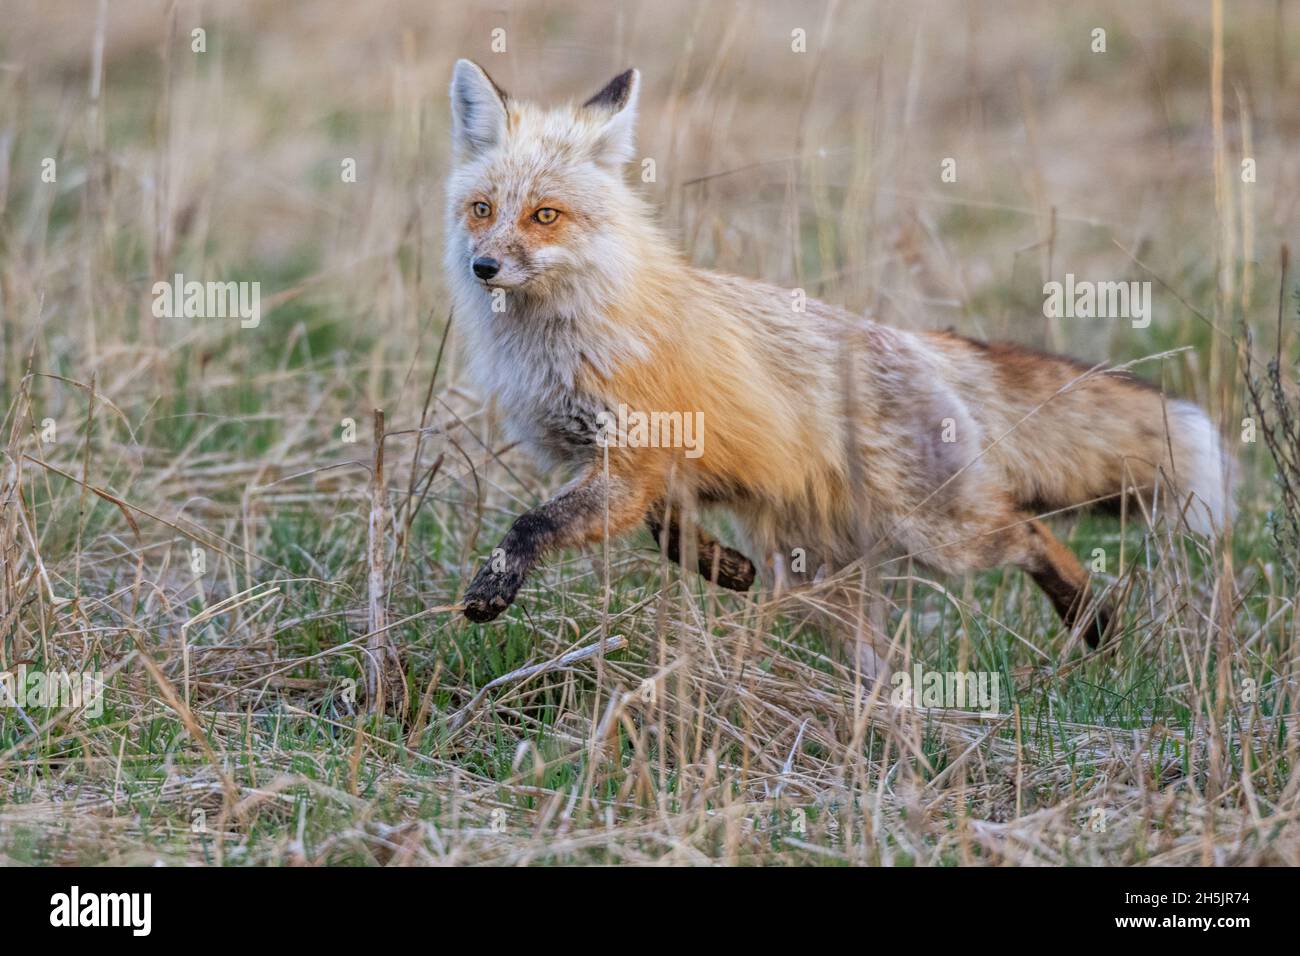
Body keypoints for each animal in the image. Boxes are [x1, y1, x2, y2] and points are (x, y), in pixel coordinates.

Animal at [444, 60, 1235, 675]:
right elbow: (668, 535)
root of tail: (914, 338)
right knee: (884, 651)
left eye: (545, 216)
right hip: (828, 574)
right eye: (483, 209)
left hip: (941, 535)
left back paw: (1093, 622)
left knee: (1031, 533)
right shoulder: (634, 467)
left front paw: (494, 585)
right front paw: (724, 567)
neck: (561, 339)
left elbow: (536, 523)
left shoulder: (634, 456)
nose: (484, 267)